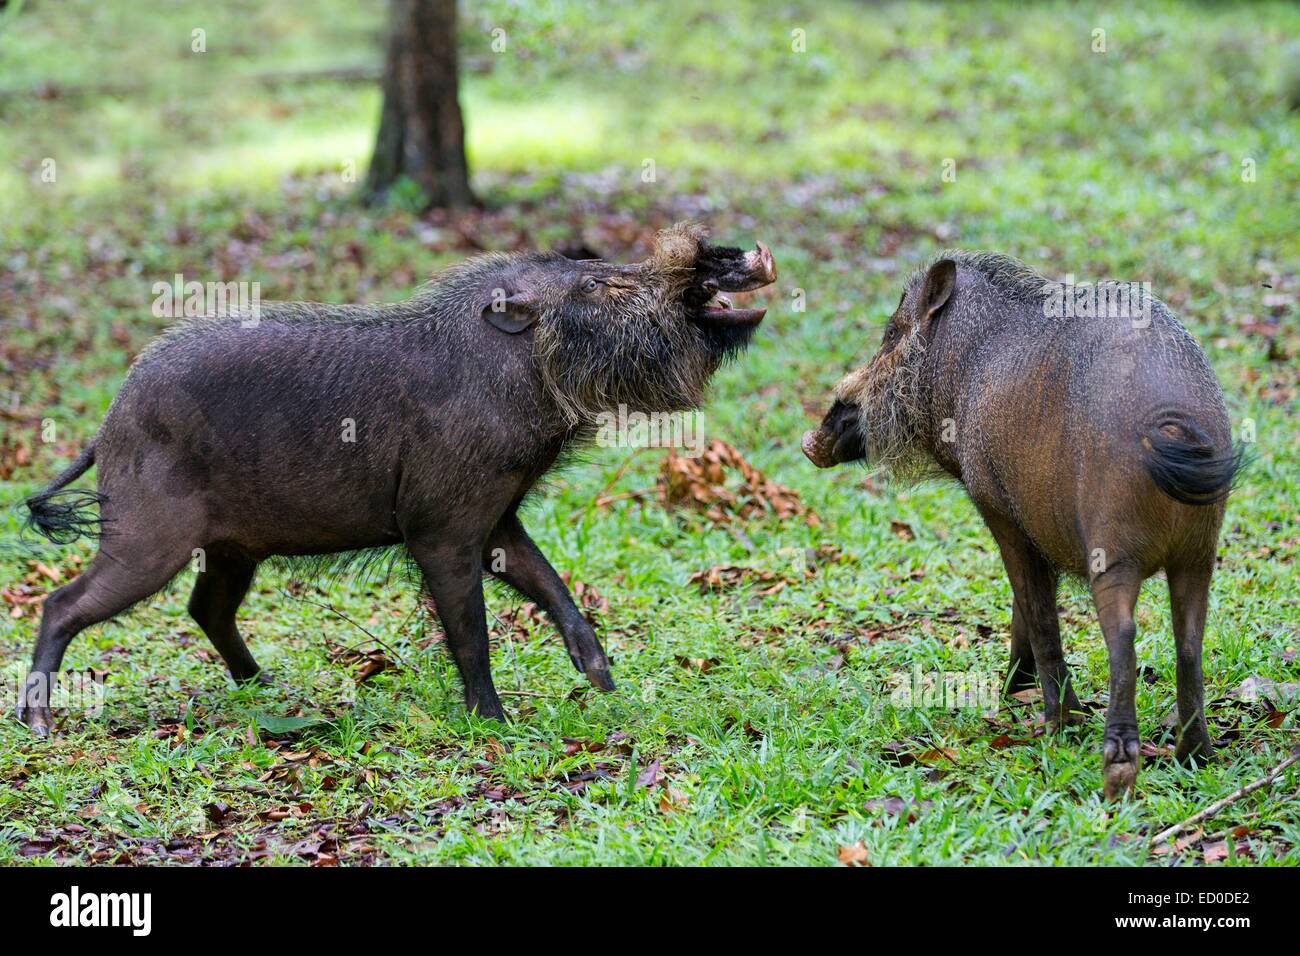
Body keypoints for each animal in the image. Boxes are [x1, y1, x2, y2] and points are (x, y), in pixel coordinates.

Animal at [19, 223, 776, 734]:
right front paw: (495, 725)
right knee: (62, 603)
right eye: (596, 284)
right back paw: (41, 723)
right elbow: (470, 629)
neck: (516, 372)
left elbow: (552, 586)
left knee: (206, 608)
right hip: (148, 537)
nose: (739, 255)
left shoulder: (496, 518)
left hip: (232, 547)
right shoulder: (438, 525)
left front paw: (605, 683)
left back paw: (271, 689)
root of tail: (105, 426)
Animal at [802, 252, 1242, 798]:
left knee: (1123, 635)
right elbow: (1024, 609)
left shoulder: (1000, 511)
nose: (813, 439)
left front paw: (1057, 722)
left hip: (1113, 550)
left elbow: (1037, 612)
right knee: (1190, 642)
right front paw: (1015, 691)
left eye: (891, 333)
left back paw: (1117, 771)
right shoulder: (1031, 526)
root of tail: (1174, 420)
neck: (964, 364)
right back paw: (1195, 756)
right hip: (1200, 551)